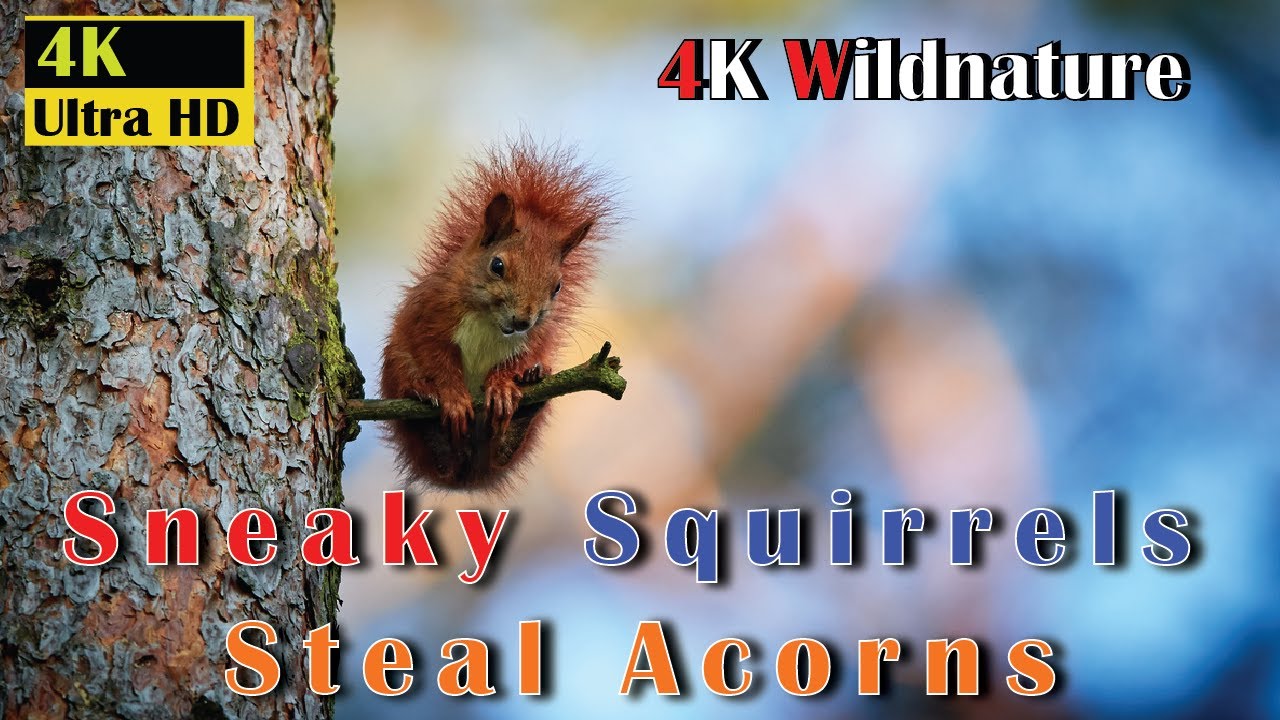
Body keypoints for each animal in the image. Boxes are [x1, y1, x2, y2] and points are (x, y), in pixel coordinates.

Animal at [380, 139, 614, 491]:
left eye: (557, 286)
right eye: (497, 265)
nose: (523, 320)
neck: (489, 321)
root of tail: (469, 475)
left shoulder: (536, 338)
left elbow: (521, 356)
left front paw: (503, 386)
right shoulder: (428, 315)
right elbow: (435, 355)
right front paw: (452, 394)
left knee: (499, 450)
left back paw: (528, 396)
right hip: (395, 366)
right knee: (436, 449)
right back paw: (420, 397)